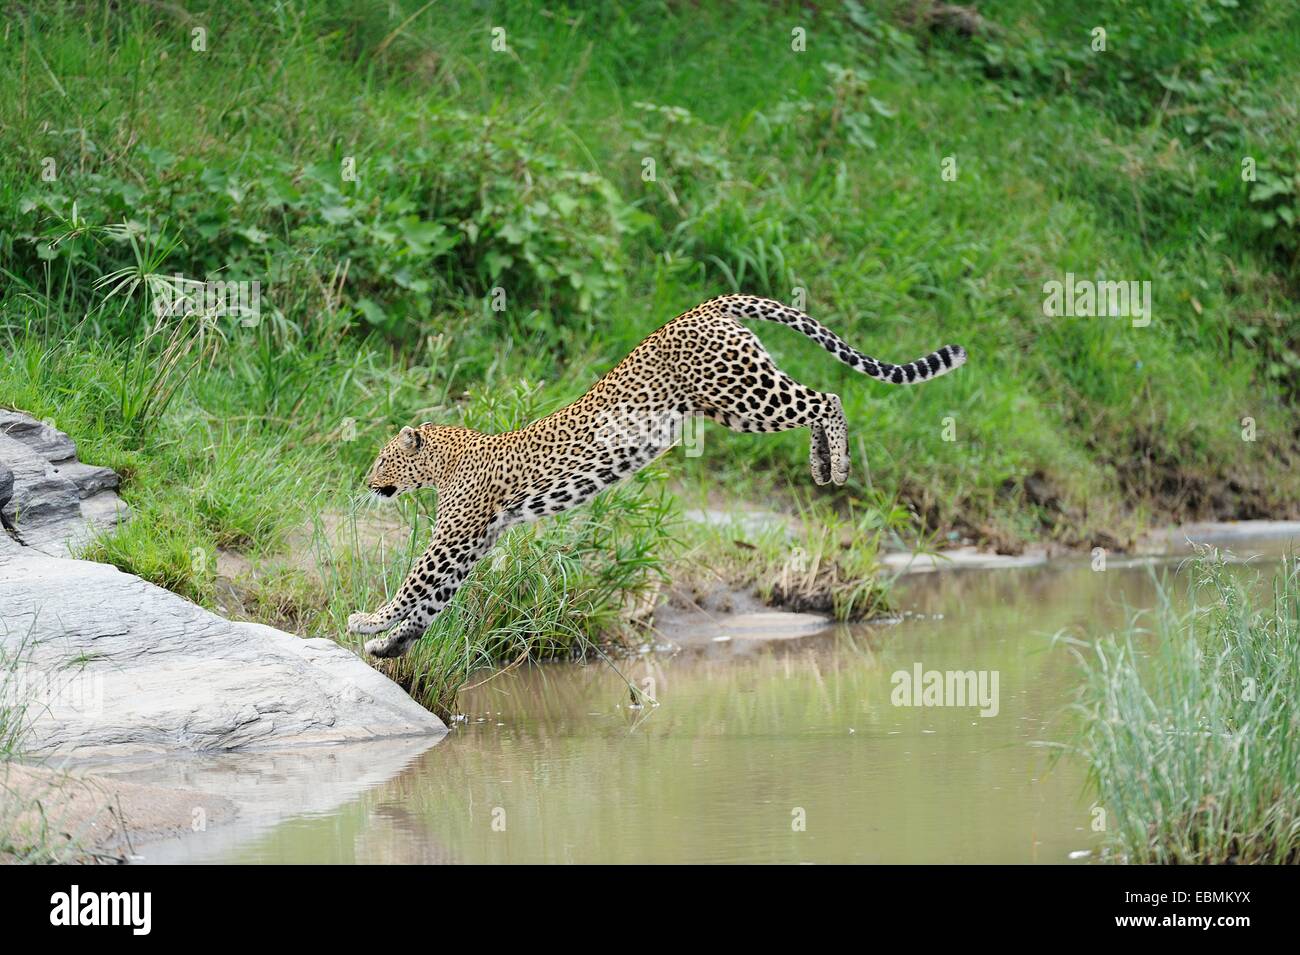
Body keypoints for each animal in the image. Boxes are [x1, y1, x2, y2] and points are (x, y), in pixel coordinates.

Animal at [348, 294, 966, 658]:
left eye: (381, 460)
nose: (367, 483)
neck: (447, 458)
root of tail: (703, 306)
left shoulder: (453, 539)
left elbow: (414, 585)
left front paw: (366, 622)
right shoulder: (474, 541)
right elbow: (432, 601)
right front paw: (390, 645)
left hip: (743, 393)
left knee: (827, 398)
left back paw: (835, 465)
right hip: (736, 404)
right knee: (817, 401)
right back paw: (820, 462)